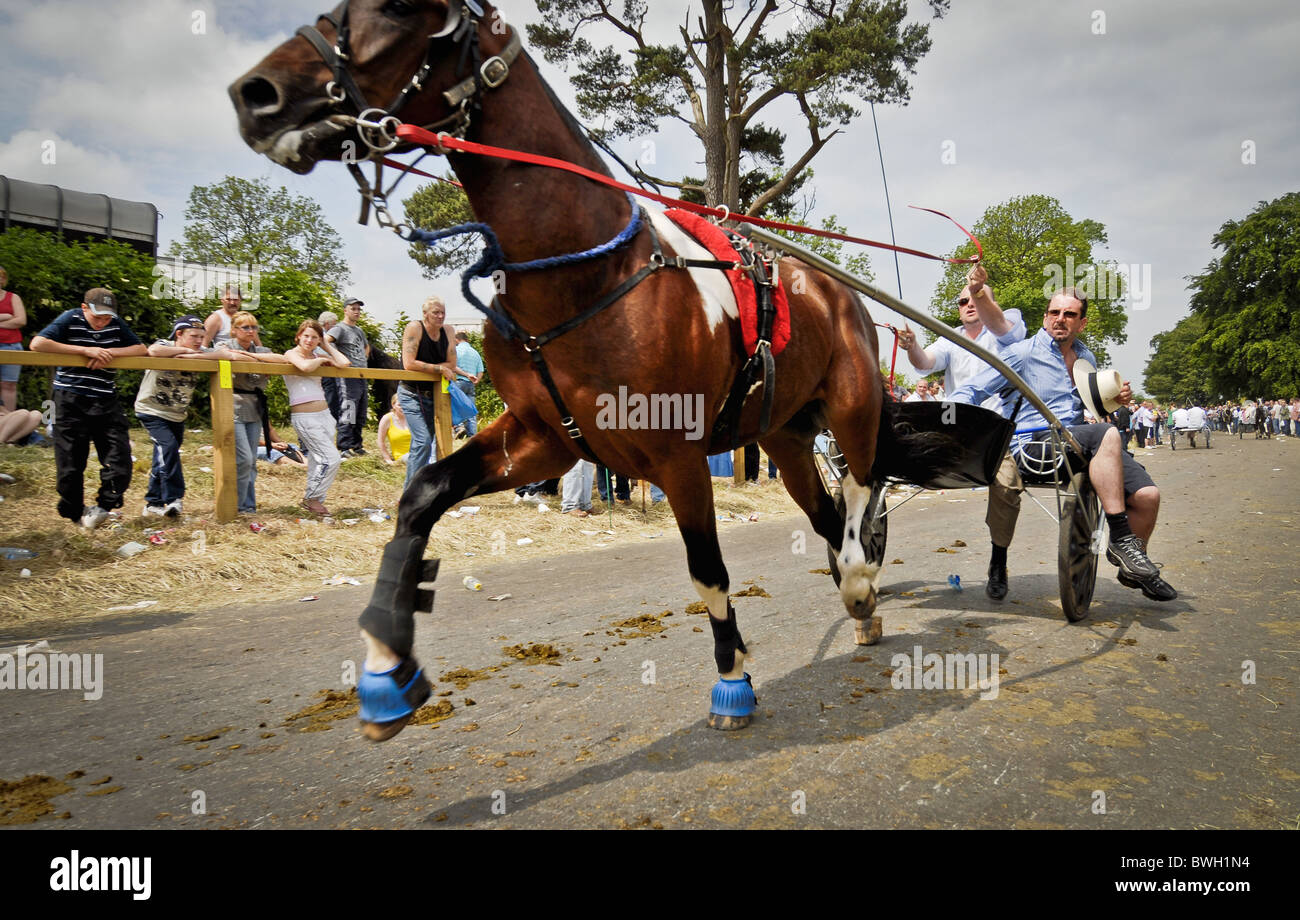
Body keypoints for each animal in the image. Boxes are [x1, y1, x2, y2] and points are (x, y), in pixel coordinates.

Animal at [230, 0, 949, 740]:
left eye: (401, 9)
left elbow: (708, 569)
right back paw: (857, 594)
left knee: (861, 490)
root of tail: (835, 290)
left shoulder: (676, 455)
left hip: (853, 407)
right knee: (827, 511)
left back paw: (860, 579)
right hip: (782, 435)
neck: (585, 277)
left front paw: (733, 680)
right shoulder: (543, 438)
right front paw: (384, 668)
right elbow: (423, 493)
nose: (257, 95)